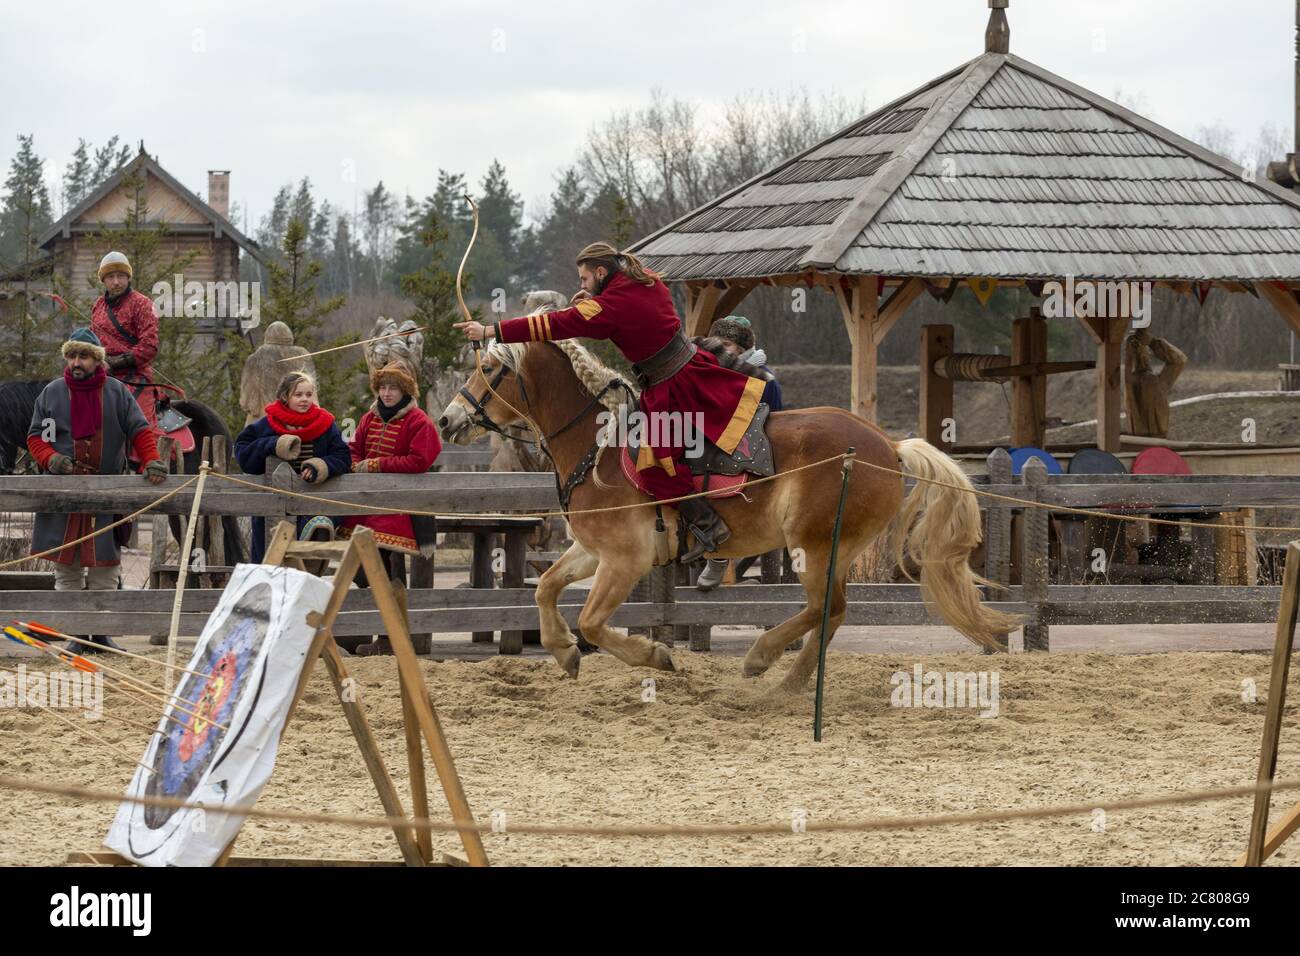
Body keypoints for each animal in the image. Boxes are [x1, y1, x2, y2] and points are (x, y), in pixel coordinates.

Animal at [437, 338, 1018, 692]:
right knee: (832, 613)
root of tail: (887, 445)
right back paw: (790, 681)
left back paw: (764, 658)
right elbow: (545, 588)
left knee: (825, 608)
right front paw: (561, 651)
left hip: (813, 544)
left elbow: (593, 622)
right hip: (831, 547)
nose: (446, 419)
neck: (598, 445)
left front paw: (654, 655)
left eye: (490, 370)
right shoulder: (592, 551)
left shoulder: (625, 561)